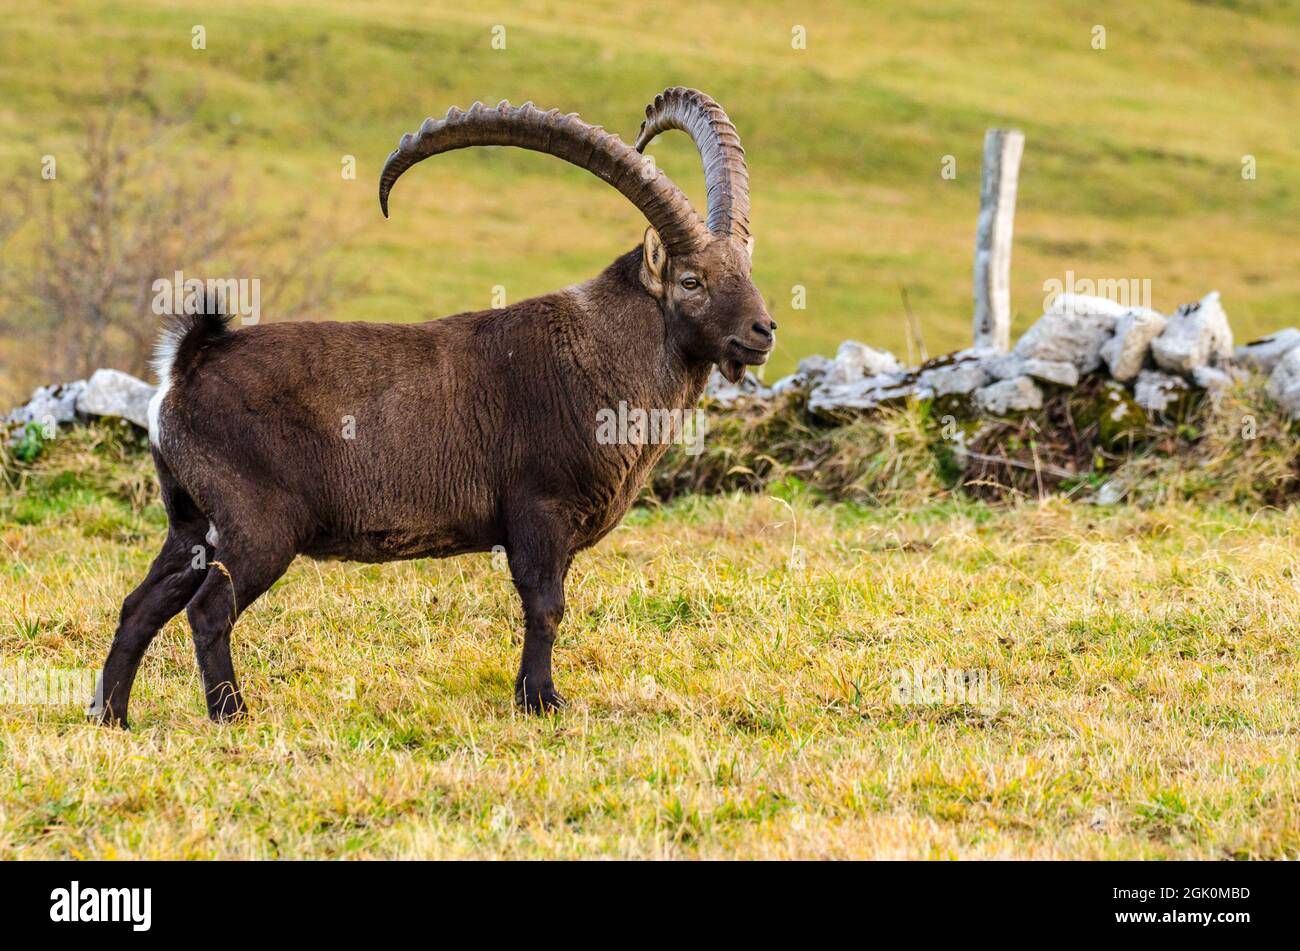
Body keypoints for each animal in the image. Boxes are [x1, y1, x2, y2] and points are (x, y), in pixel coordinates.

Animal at [96, 88, 775, 726]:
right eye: (691, 281)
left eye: (746, 269)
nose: (762, 331)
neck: (602, 356)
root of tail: (186, 365)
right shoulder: (538, 512)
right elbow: (546, 607)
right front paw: (540, 701)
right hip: (257, 524)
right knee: (209, 609)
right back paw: (231, 714)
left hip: (191, 524)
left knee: (141, 606)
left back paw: (112, 718)